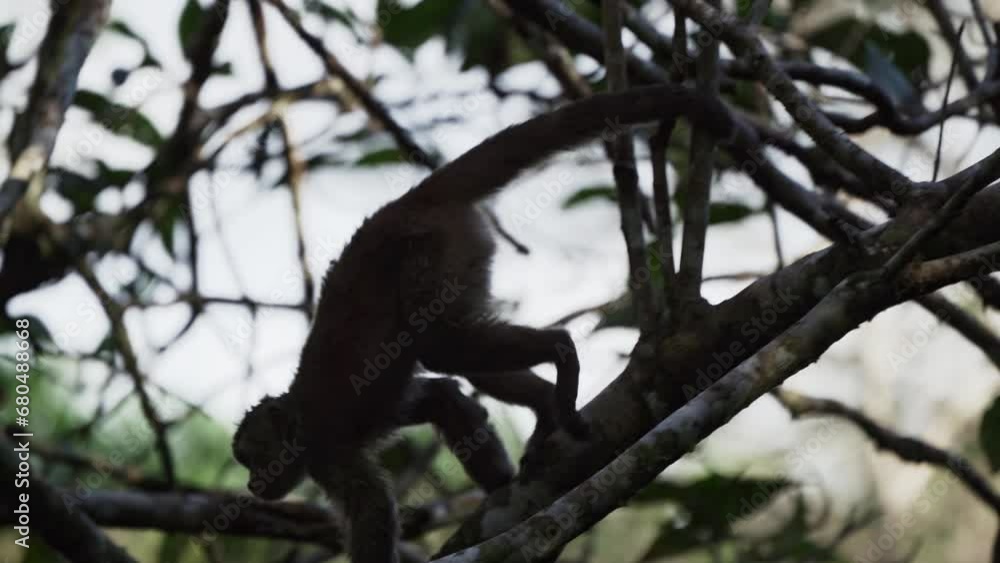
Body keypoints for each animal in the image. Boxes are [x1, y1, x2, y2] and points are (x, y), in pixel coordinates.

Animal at [232, 84, 752, 563]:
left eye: (254, 457)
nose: (253, 484)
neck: (298, 417)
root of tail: (407, 202)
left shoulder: (325, 451)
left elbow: (372, 506)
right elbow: (441, 397)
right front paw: (500, 483)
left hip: (430, 250)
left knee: (441, 343)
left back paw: (561, 351)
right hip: (463, 250)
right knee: (458, 357)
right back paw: (545, 406)